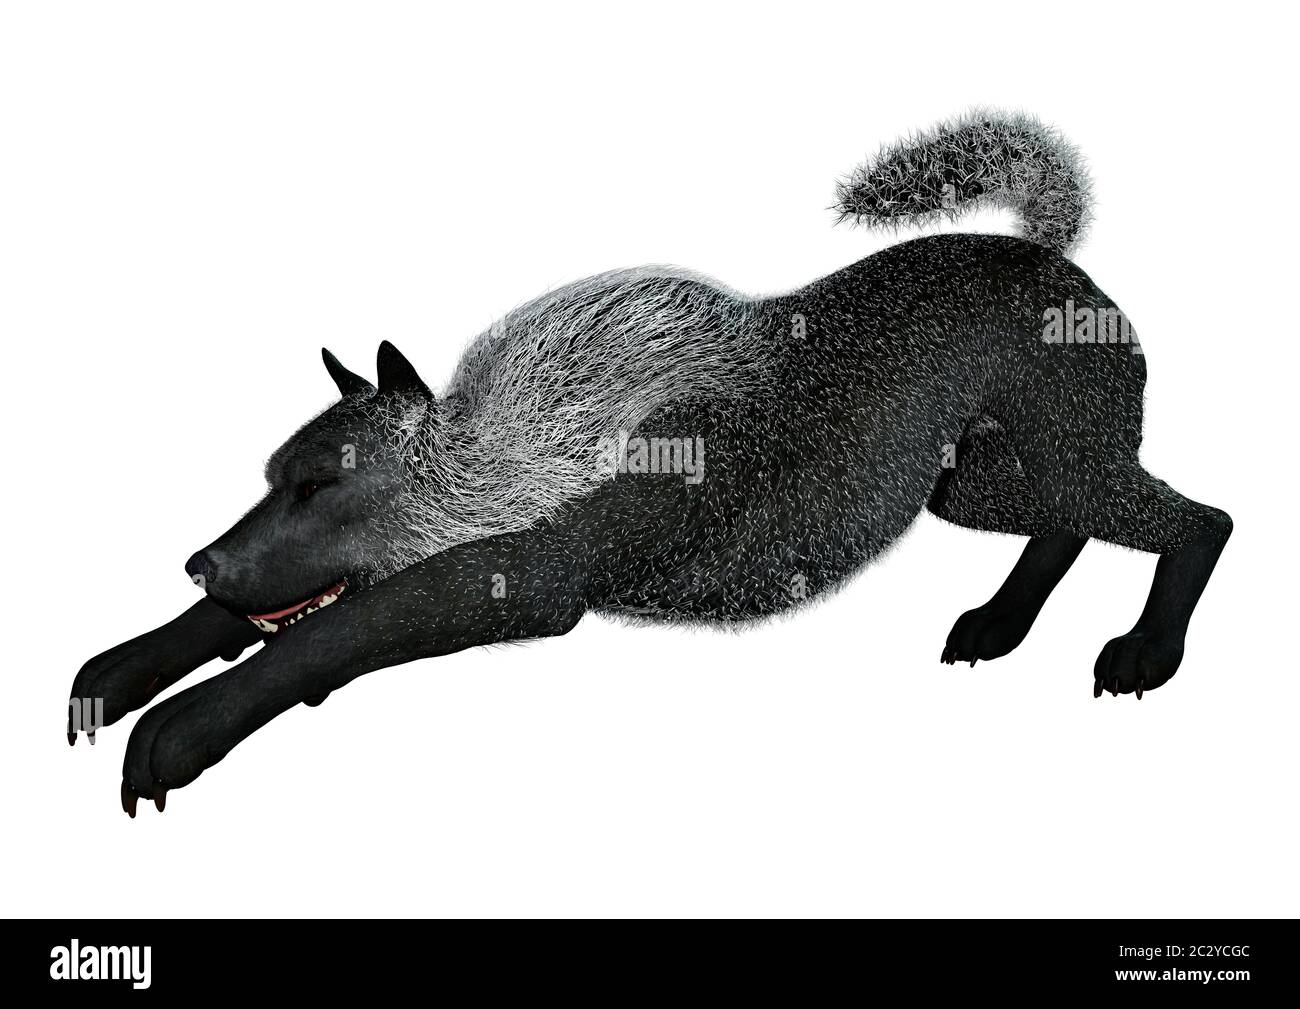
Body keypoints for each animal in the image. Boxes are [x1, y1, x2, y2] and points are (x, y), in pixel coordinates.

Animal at [69, 110, 1231, 815]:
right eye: (273, 477)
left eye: (320, 485)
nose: (198, 560)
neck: (503, 451)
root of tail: (1057, 259)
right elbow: (261, 618)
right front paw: (120, 669)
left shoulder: (534, 571)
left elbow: (347, 626)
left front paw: (179, 731)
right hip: (976, 484)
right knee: (1069, 527)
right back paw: (997, 623)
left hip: (1054, 462)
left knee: (1201, 520)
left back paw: (1142, 652)